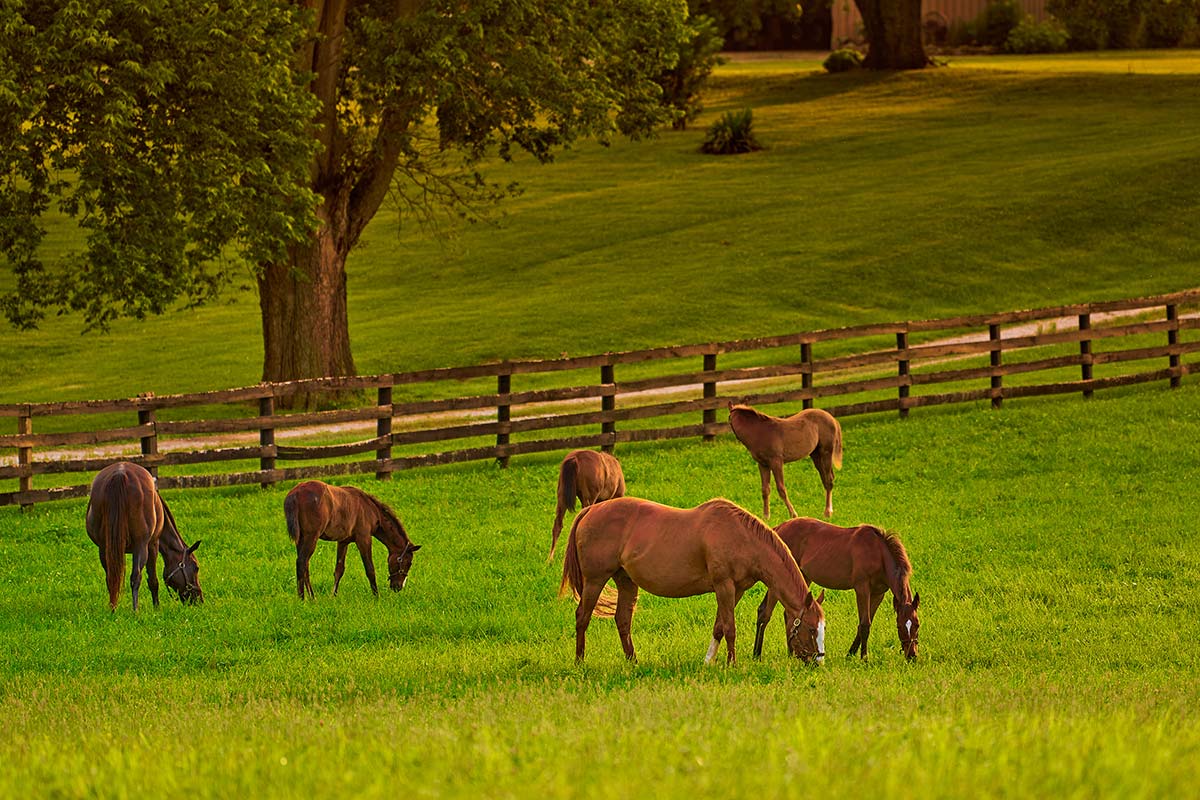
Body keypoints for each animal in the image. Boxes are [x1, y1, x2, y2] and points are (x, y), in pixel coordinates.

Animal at [85, 462, 203, 611]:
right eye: (196, 567)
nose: (199, 600)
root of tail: (120, 474)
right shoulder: (153, 545)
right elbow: (153, 580)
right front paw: (156, 607)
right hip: (141, 547)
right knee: (136, 577)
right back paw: (135, 610)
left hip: (105, 547)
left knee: (111, 578)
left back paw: (113, 609)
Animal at [284, 480, 421, 599]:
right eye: (407, 562)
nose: (398, 587)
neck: (370, 509)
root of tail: (295, 493)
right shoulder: (364, 539)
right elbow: (370, 569)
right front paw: (376, 596)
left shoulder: (343, 542)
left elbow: (339, 570)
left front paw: (333, 596)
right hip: (311, 537)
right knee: (302, 562)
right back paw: (302, 598)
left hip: (301, 539)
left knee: (305, 565)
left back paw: (312, 597)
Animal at [559, 496, 826, 665]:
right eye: (811, 628)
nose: (817, 662)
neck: (741, 537)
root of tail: (590, 510)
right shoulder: (724, 586)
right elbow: (730, 628)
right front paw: (731, 663)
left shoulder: (736, 590)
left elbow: (719, 627)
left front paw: (708, 661)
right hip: (595, 581)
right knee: (582, 617)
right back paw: (580, 662)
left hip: (625, 581)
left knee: (622, 621)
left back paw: (633, 661)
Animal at [753, 517, 920, 661]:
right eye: (899, 626)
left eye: (917, 624)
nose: (912, 655)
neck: (878, 553)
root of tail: (778, 528)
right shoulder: (862, 588)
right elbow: (865, 624)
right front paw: (864, 658)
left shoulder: (878, 593)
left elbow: (865, 623)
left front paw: (851, 654)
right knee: (765, 612)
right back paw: (757, 654)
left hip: (803, 576)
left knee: (789, 614)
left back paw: (791, 653)